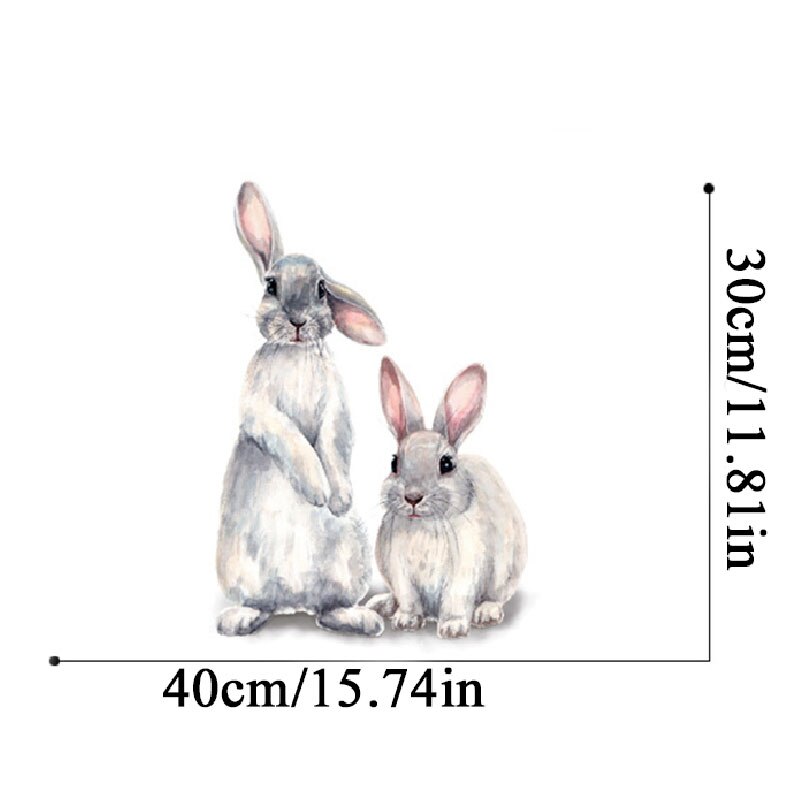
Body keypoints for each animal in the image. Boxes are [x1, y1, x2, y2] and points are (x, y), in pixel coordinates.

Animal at [216, 181, 387, 637]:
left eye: (322, 288)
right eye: (271, 286)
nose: (297, 320)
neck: (294, 353)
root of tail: (294, 603)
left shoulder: (335, 409)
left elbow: (331, 442)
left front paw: (338, 499)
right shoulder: (260, 408)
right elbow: (291, 439)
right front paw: (317, 492)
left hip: (349, 565)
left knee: (328, 610)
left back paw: (362, 619)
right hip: (240, 568)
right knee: (262, 604)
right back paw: (238, 620)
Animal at [367, 357, 527, 638]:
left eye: (447, 463)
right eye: (394, 462)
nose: (412, 497)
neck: (425, 525)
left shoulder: (465, 570)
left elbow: (455, 599)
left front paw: (452, 628)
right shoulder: (399, 570)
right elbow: (409, 599)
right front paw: (407, 621)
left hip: (508, 570)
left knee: (497, 596)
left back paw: (487, 613)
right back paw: (381, 604)